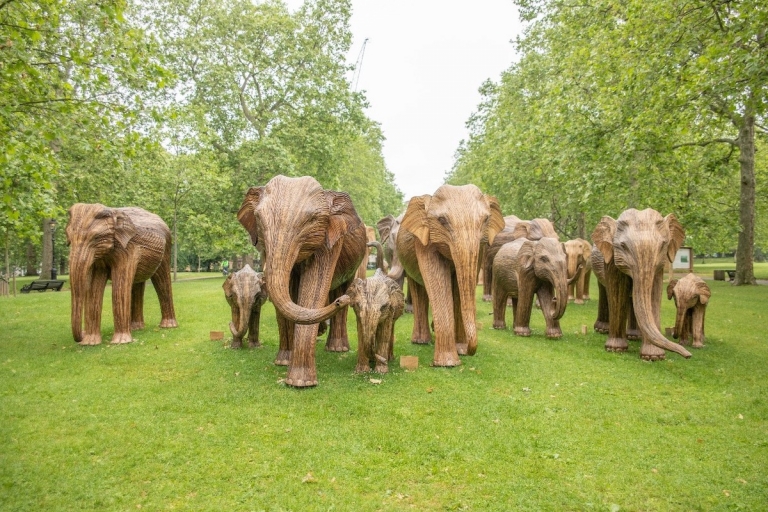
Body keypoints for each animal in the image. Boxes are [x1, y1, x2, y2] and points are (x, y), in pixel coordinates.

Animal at [66, 203, 178, 345]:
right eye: (68, 238)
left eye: (96, 237)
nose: (82, 334)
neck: (112, 211)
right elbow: (93, 289)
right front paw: (90, 343)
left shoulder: (128, 248)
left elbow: (119, 287)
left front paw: (120, 342)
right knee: (137, 285)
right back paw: (136, 328)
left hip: (166, 249)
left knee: (162, 281)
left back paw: (168, 326)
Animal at [237, 175, 367, 387]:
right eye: (258, 218)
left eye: (312, 220)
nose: (343, 301)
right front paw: (283, 362)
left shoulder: (329, 241)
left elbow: (312, 292)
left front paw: (300, 383)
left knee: (338, 288)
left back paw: (337, 349)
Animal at [395, 184, 505, 366]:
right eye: (442, 221)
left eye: (485, 220)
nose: (469, 351)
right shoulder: (425, 242)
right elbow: (438, 283)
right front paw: (448, 363)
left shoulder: (480, 246)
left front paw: (460, 349)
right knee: (418, 289)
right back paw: (421, 341)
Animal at [591, 208, 692, 360]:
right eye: (623, 246)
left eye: (663, 245)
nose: (688, 355)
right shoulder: (612, 261)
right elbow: (618, 295)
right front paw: (614, 349)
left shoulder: (659, 268)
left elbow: (653, 297)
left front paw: (654, 356)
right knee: (605, 292)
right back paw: (602, 330)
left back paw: (634, 336)